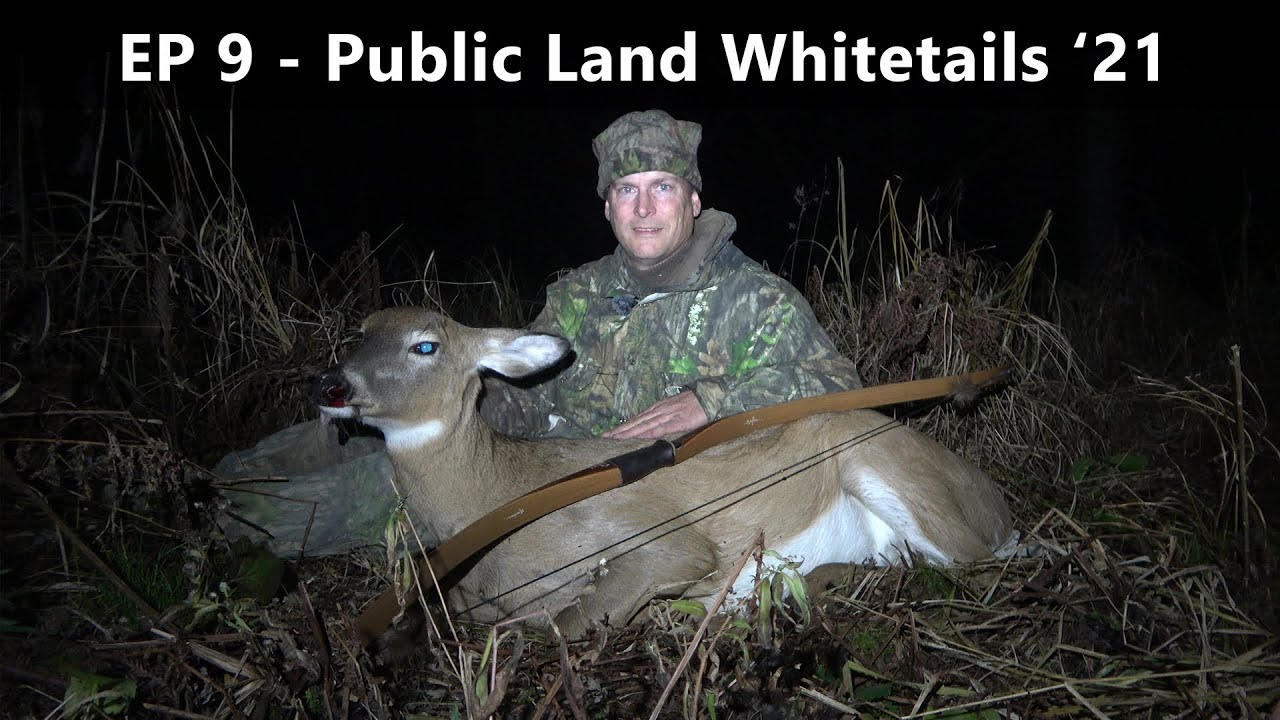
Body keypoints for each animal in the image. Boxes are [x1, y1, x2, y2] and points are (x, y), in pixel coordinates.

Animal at [312, 305, 1018, 641]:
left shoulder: (658, 538)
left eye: (426, 345)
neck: (495, 501)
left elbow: (570, 624)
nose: (332, 385)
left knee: (982, 562)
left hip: (882, 463)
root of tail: (995, 497)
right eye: (358, 333)